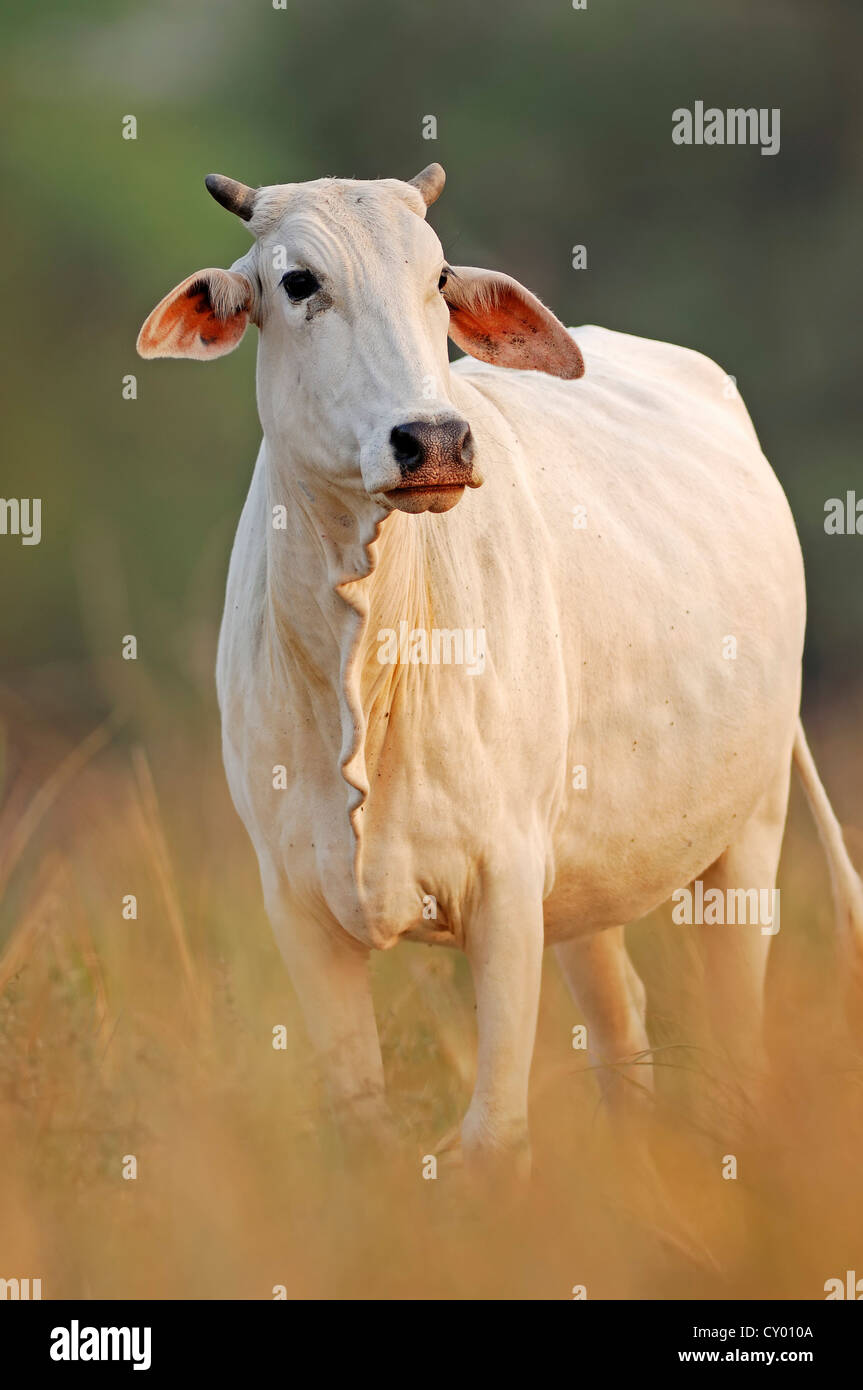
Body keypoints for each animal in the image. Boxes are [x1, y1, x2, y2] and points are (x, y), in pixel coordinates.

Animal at [137, 163, 863, 1176]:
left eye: (438, 279)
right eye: (298, 281)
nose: (435, 441)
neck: (369, 665)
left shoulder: (507, 881)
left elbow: (493, 1140)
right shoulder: (296, 904)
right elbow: (362, 1129)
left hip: (748, 831)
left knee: (732, 1032)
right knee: (622, 1029)